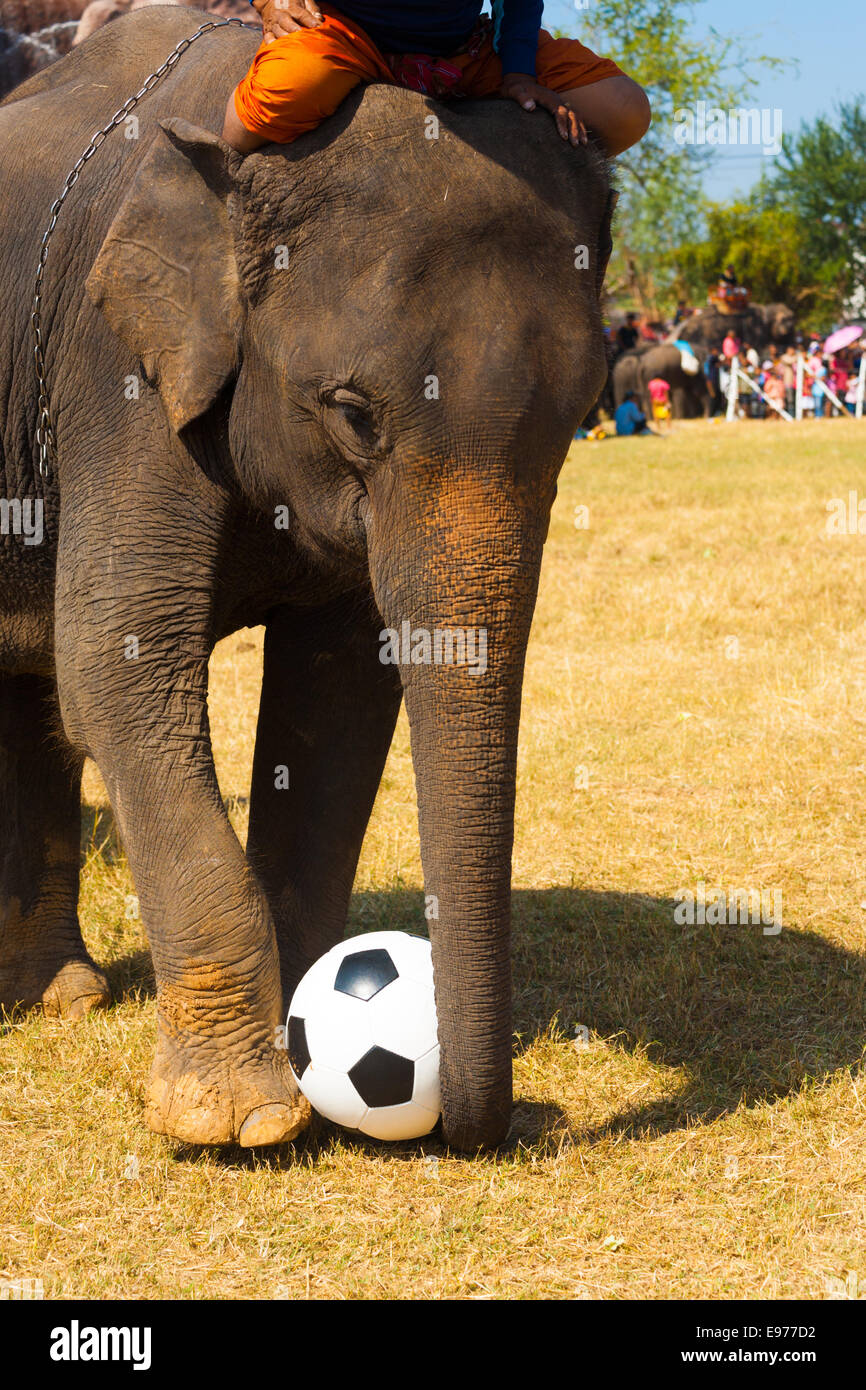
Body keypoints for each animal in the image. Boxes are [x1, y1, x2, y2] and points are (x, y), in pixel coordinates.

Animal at [0, 7, 613, 1151]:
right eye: (351, 411)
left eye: (584, 412)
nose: (490, 1126)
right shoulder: (117, 371)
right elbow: (118, 661)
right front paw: (237, 1120)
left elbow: (339, 690)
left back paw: (61, 997)